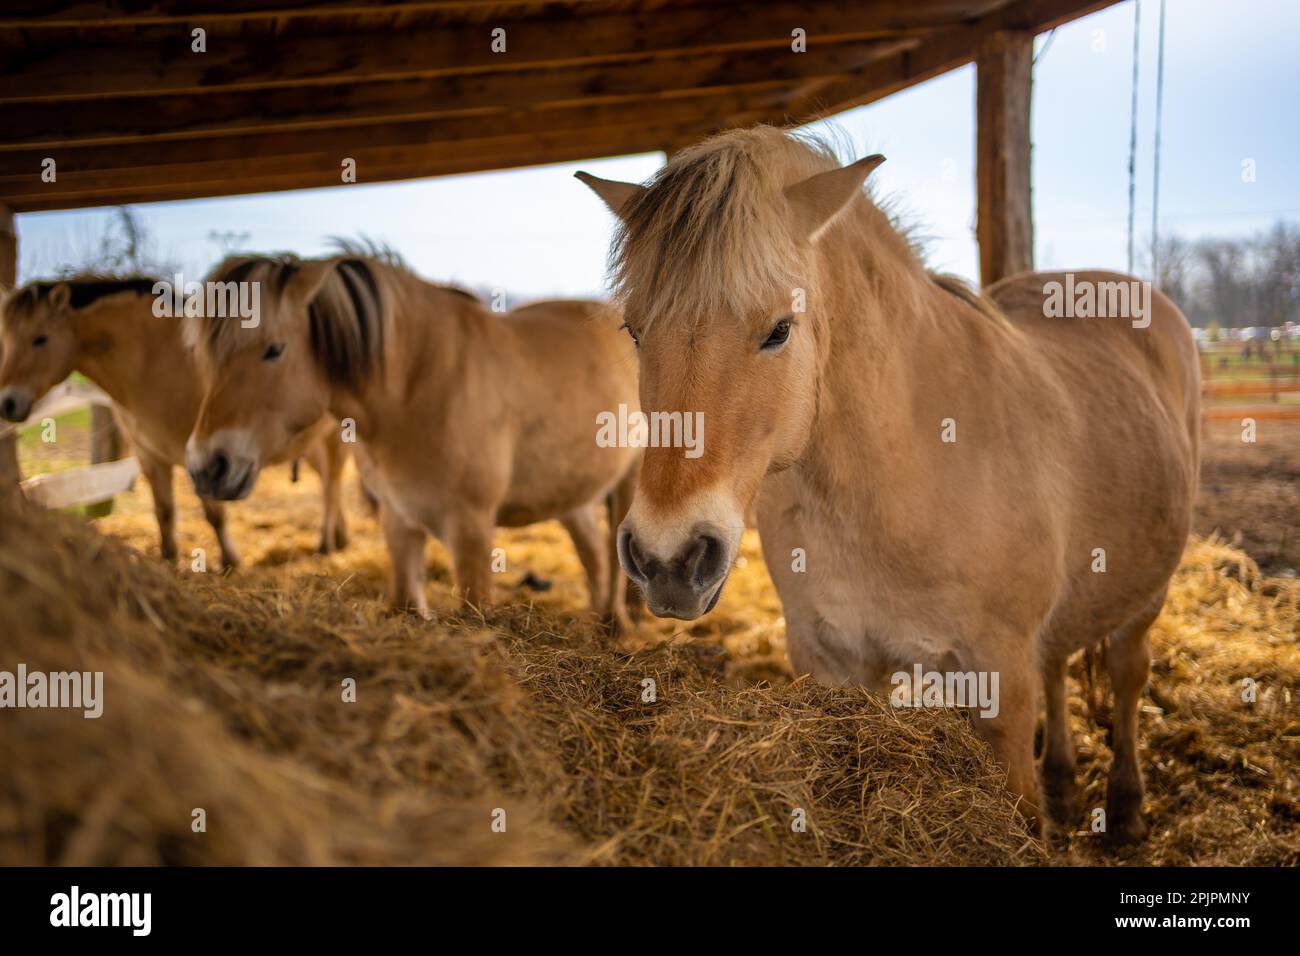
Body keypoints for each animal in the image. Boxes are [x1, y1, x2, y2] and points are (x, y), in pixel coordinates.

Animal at [0, 276, 350, 568]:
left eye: (40, 339)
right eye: (6, 341)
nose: (8, 402)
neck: (155, 361)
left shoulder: (202, 455)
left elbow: (214, 514)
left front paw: (230, 561)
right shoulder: (149, 456)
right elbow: (164, 513)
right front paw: (169, 560)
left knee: (333, 484)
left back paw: (325, 542)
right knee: (327, 481)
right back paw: (340, 536)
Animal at [183, 254, 641, 630]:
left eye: (274, 350)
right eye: (208, 356)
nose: (207, 466)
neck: (418, 385)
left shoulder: (471, 529)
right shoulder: (399, 519)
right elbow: (406, 602)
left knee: (612, 553)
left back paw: (618, 623)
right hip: (572, 494)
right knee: (594, 555)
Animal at [577, 125, 1200, 842]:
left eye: (779, 330)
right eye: (634, 330)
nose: (668, 559)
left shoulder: (1002, 683)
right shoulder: (832, 662)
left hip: (1146, 596)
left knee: (1126, 678)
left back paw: (1124, 811)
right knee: (1061, 665)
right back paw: (1067, 790)